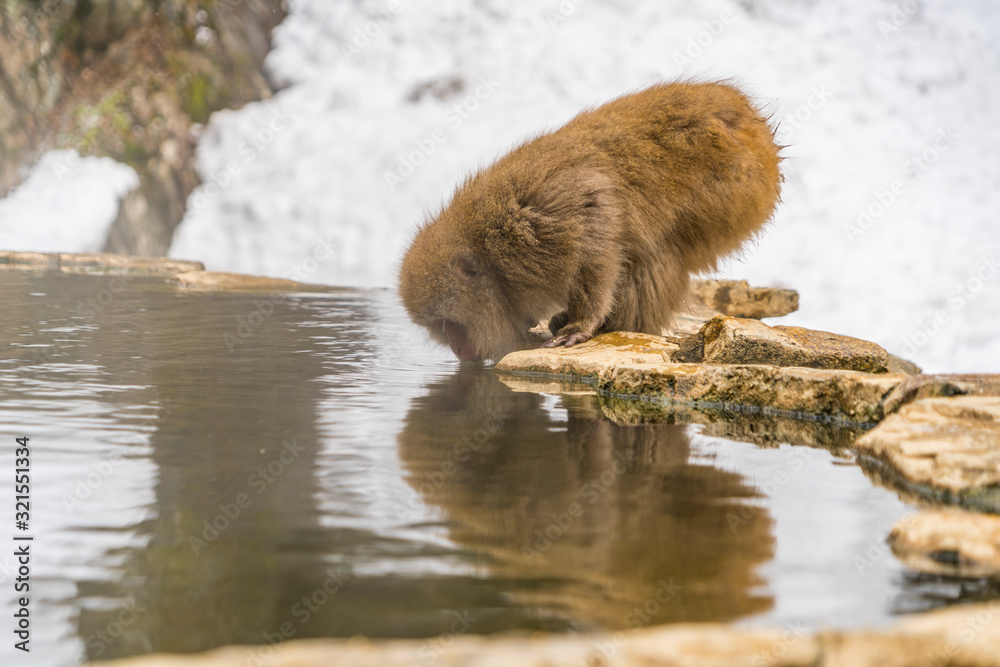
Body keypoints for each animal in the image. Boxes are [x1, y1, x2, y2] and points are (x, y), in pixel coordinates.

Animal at [398, 81, 782, 362]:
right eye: (439, 327)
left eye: (448, 324)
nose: (457, 350)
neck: (489, 255)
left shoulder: (535, 221)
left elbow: (596, 211)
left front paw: (584, 323)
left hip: (731, 190)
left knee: (656, 250)